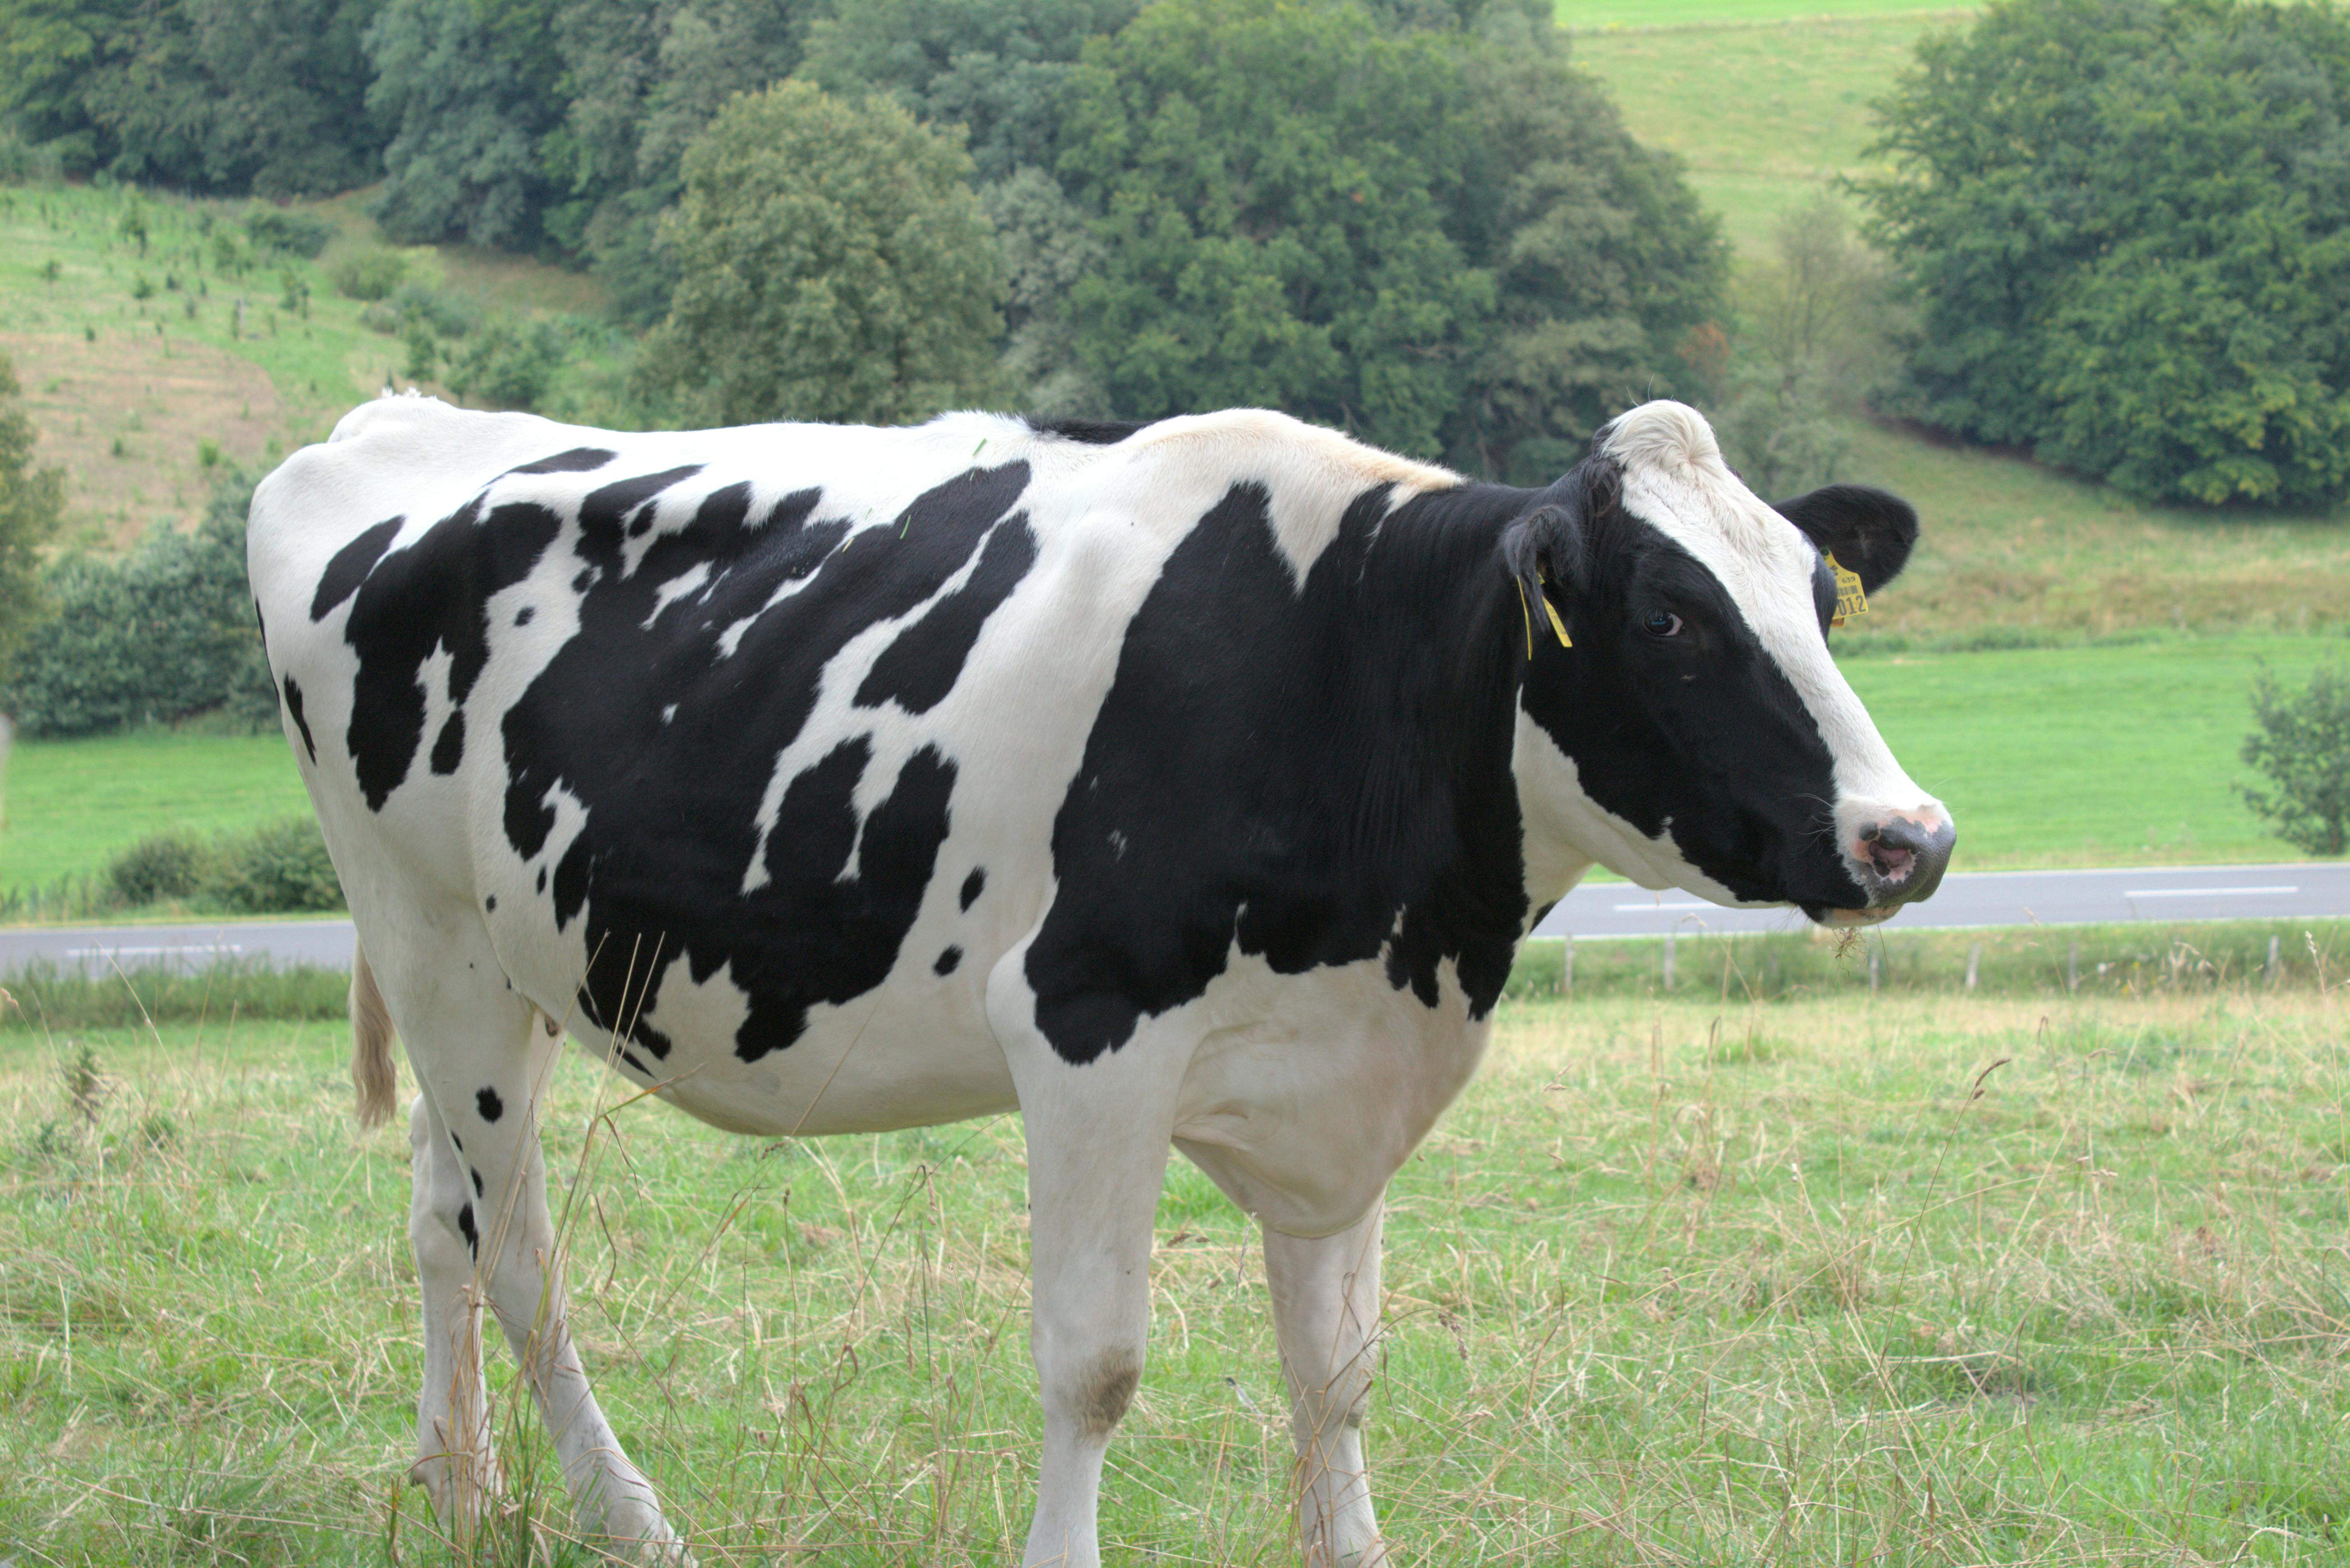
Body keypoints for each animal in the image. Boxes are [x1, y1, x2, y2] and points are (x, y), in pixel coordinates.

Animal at [247, 393, 1952, 1566]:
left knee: (443, 1220)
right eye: (1665, 614)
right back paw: (629, 1518)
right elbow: (1094, 1363)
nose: (1909, 836)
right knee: (521, 1249)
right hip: (435, 943)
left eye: (1818, 597)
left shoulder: (1337, 1064)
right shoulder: (1087, 1028)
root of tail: (391, 423)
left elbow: (1335, 1370)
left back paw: (455, 1489)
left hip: (507, 965)